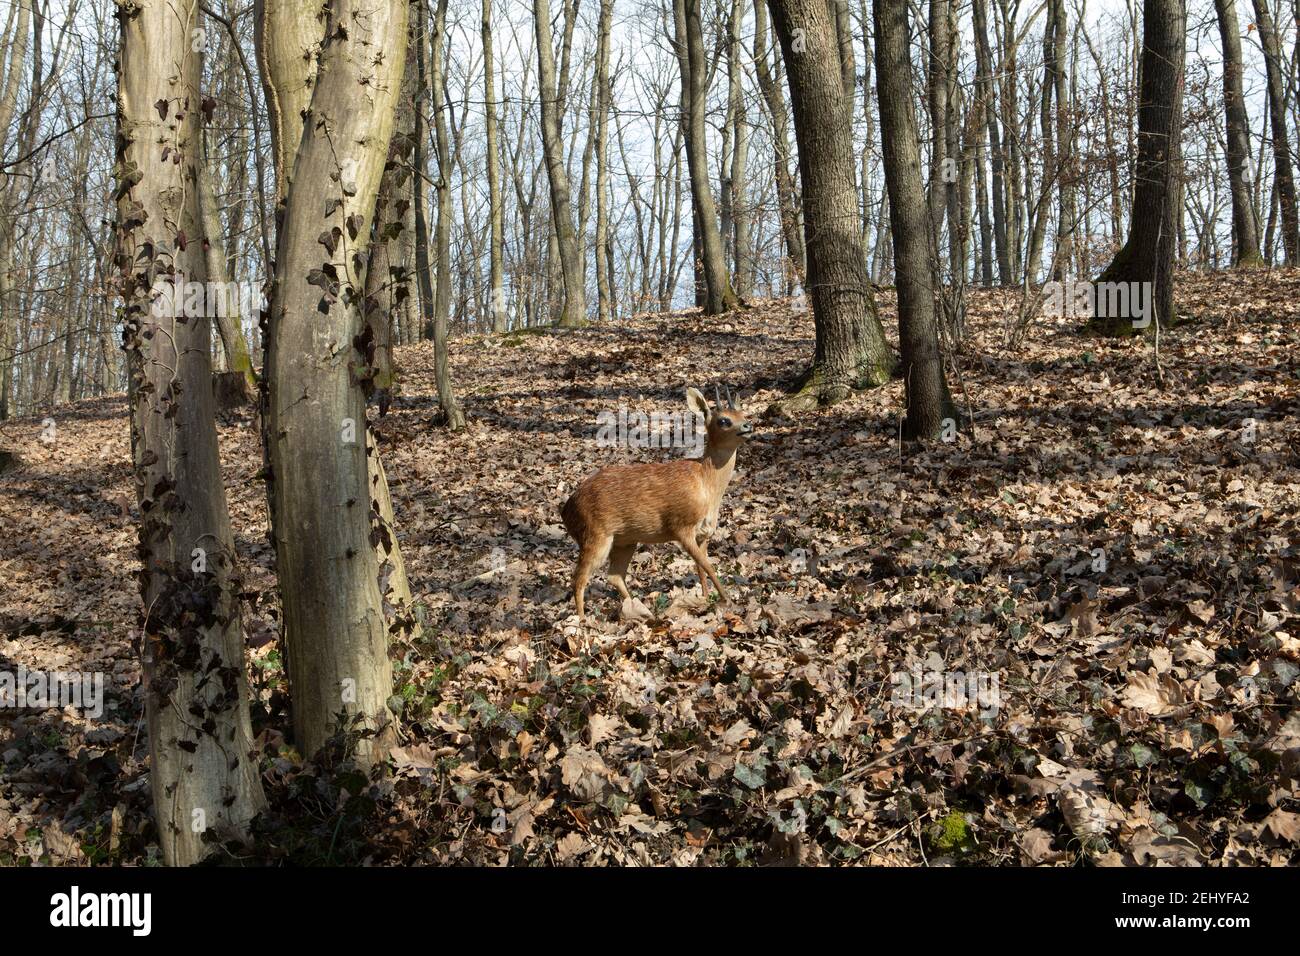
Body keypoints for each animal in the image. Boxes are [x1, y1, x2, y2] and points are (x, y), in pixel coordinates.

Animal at [561, 385, 754, 619]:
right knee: (579, 578)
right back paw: (583, 621)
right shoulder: (681, 526)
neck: (706, 486)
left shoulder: (704, 533)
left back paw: (640, 610)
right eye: (723, 420)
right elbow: (707, 566)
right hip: (595, 534)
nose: (748, 426)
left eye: (743, 414)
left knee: (613, 575)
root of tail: (565, 511)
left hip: (624, 540)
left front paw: (707, 598)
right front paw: (726, 600)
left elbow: (701, 567)